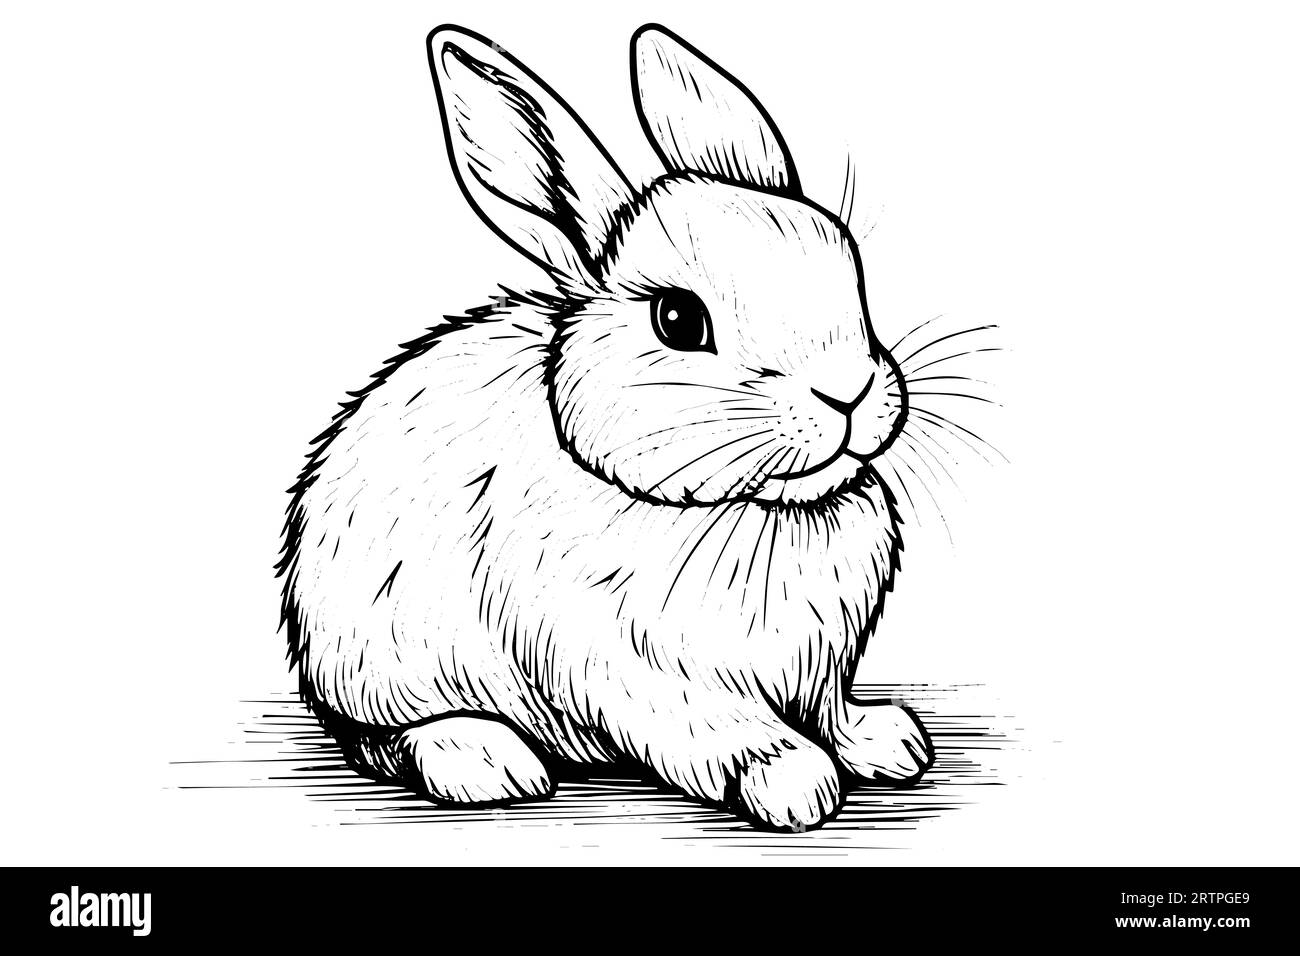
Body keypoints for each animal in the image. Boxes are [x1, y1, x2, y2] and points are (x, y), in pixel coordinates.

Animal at [277, 23, 933, 831]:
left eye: (849, 263)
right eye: (678, 320)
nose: (848, 393)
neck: (755, 509)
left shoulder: (818, 669)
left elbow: (829, 711)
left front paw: (885, 741)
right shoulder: (634, 669)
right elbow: (725, 728)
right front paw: (790, 782)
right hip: (383, 662)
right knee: (386, 737)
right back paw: (489, 763)